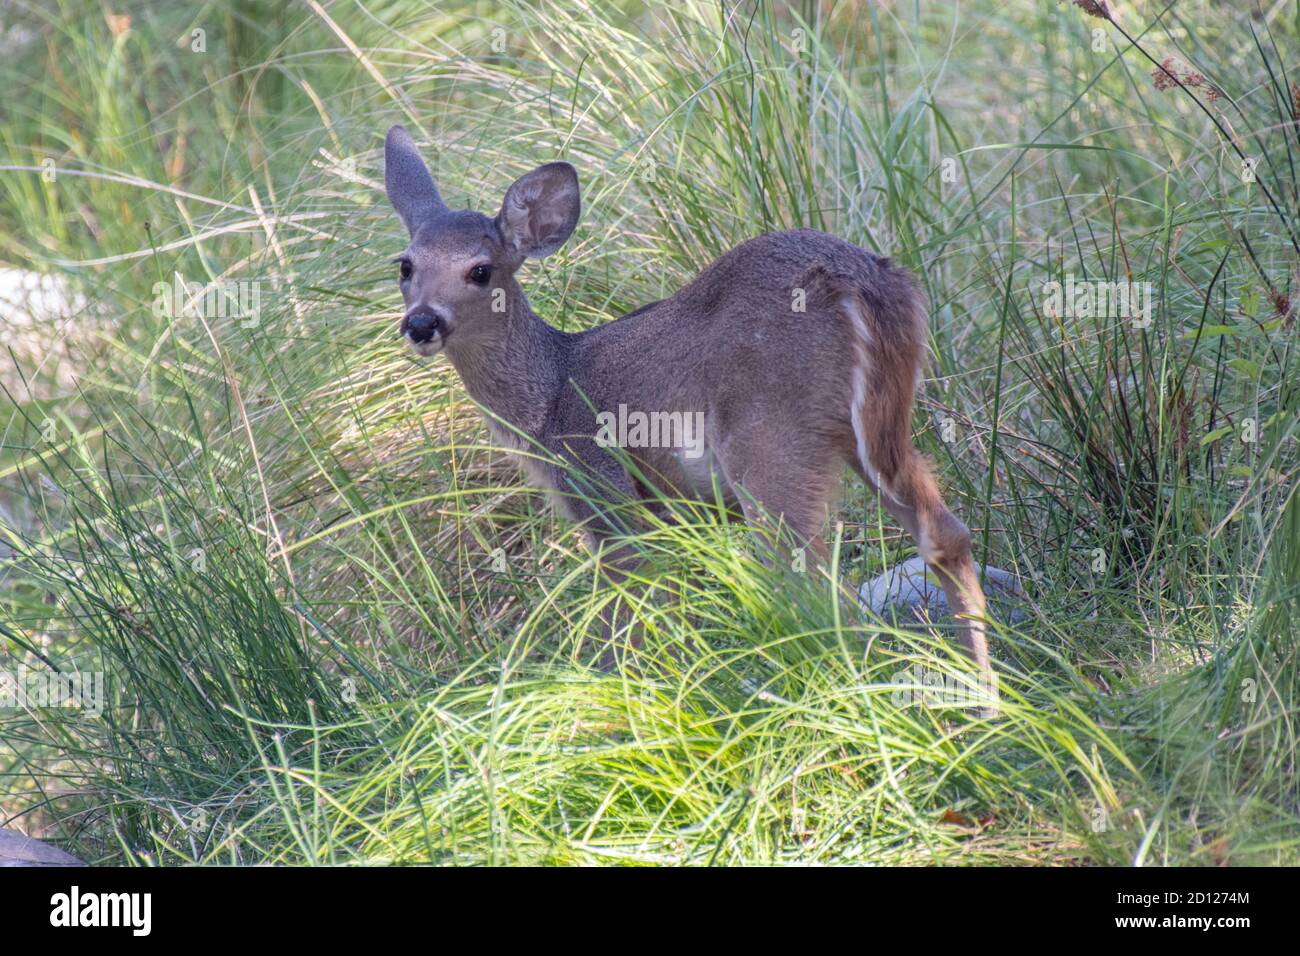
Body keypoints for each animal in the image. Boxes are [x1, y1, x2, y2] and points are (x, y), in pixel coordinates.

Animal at [382, 124, 997, 714]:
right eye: (405, 265)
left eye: (481, 270)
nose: (421, 323)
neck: (548, 393)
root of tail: (861, 283)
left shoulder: (601, 487)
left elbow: (631, 618)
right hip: (875, 428)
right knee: (944, 533)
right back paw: (982, 702)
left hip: (768, 440)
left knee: (822, 588)